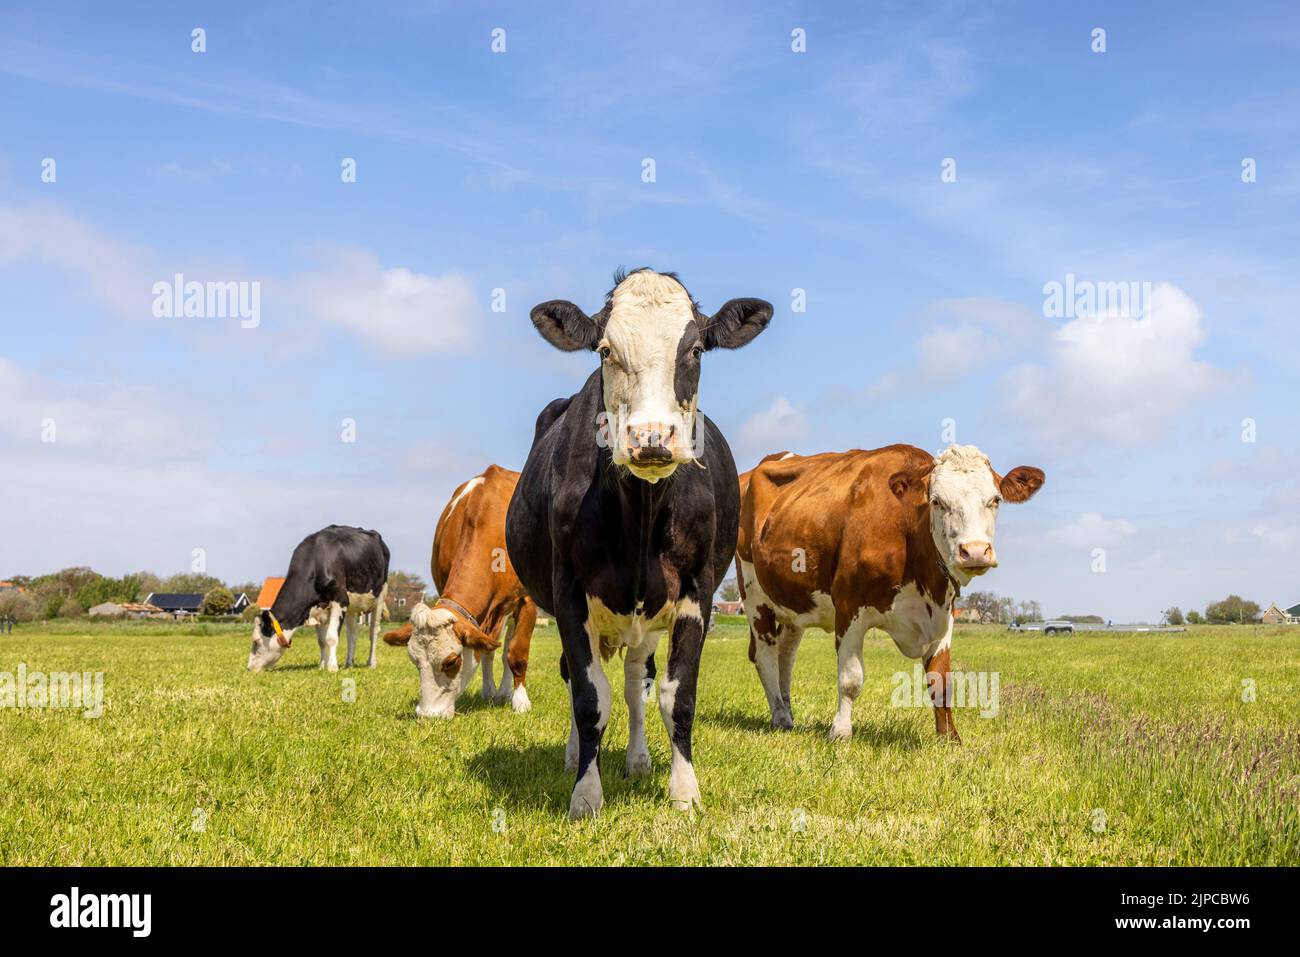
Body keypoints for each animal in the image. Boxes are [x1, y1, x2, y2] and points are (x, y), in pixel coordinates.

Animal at [246, 525, 390, 673]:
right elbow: (321, 641)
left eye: (256, 641)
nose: (249, 668)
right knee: (352, 633)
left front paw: (332, 667)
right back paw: (348, 663)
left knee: (373, 631)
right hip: (352, 606)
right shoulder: (318, 607)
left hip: (380, 596)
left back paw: (371, 663)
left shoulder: (340, 599)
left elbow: (331, 637)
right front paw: (322, 665)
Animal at [381, 466, 539, 718]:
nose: (428, 714)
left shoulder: (527, 601)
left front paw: (521, 702)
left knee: (507, 646)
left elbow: (517, 653)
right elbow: (486, 650)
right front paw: (492, 691)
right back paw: (492, 691)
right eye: (415, 662)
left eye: (451, 662)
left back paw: (507, 691)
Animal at [506, 267, 773, 819]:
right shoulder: (569, 595)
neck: (643, 515)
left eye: (696, 350)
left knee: (636, 683)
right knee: (581, 680)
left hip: (647, 617)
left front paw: (685, 791)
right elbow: (589, 699)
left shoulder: (696, 591)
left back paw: (638, 760)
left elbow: (677, 696)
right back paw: (575, 756)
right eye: (606, 350)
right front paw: (585, 794)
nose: (650, 437)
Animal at [736, 444, 1044, 743]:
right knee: (764, 656)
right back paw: (779, 716)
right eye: (937, 501)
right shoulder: (849, 606)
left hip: (793, 604)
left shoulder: (944, 613)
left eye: (995, 500)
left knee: (785, 655)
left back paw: (787, 713)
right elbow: (851, 679)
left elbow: (941, 681)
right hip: (754, 597)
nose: (976, 551)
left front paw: (949, 738)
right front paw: (840, 733)